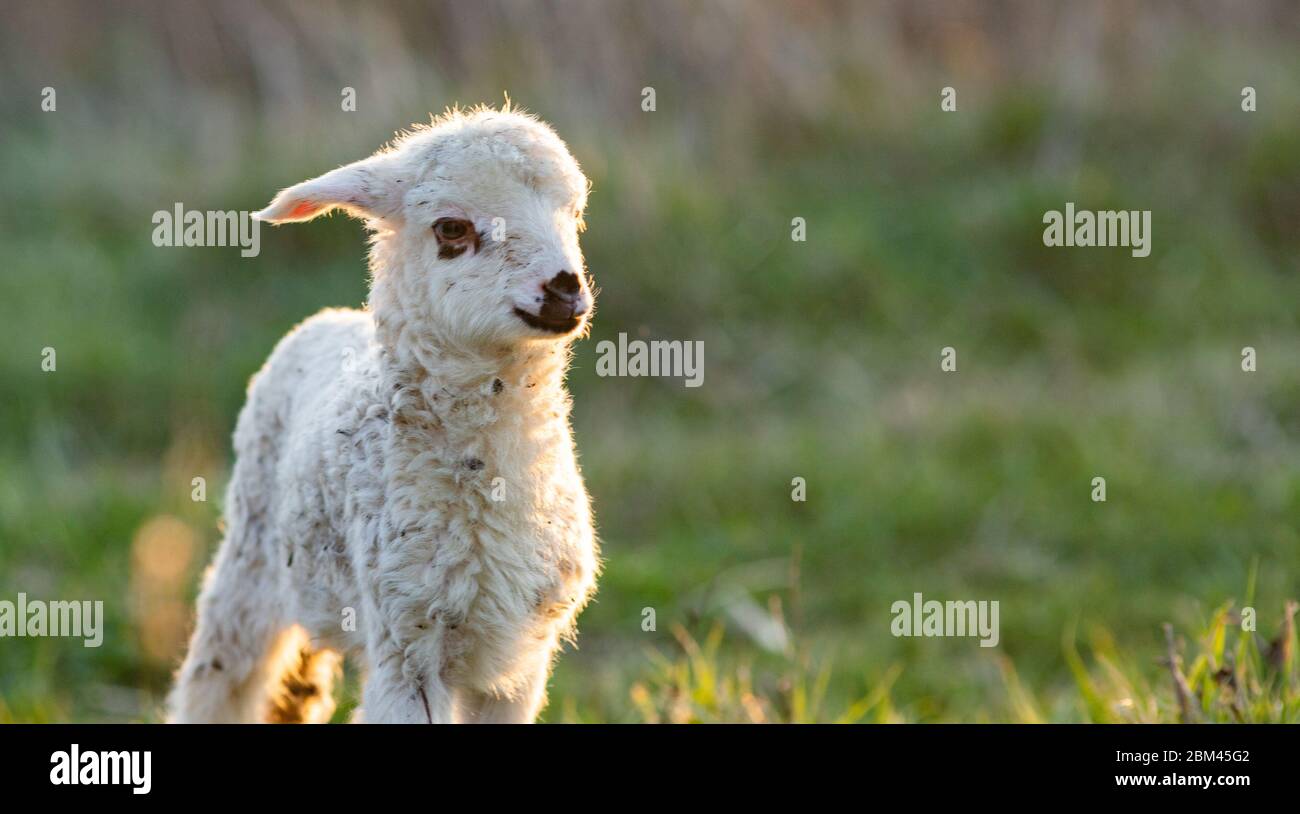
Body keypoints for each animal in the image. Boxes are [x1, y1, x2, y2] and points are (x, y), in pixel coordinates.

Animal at [168, 105, 599, 724]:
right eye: (451, 228)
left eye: (575, 213)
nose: (565, 289)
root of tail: (328, 317)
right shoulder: (406, 635)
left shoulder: (520, 659)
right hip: (251, 550)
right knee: (220, 675)